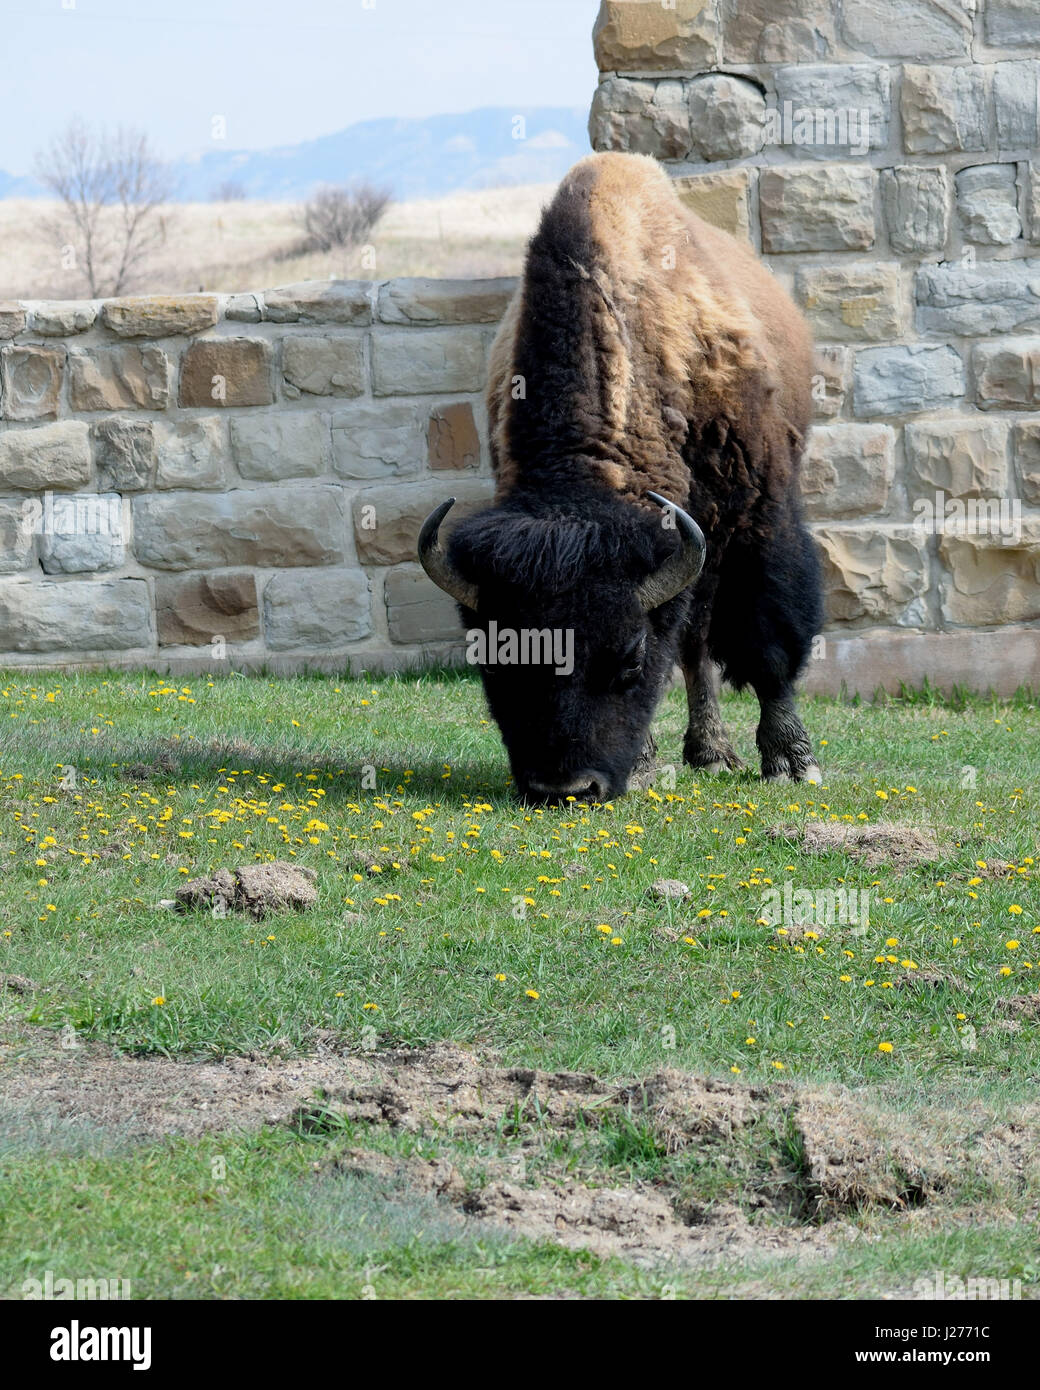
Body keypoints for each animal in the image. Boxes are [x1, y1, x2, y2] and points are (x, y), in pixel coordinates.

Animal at [419, 152, 823, 803]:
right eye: (496, 660)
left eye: (629, 660)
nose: (564, 787)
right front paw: (645, 766)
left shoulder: (758, 516)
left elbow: (770, 640)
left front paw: (791, 762)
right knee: (694, 641)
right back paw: (709, 754)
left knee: (707, 635)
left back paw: (720, 755)